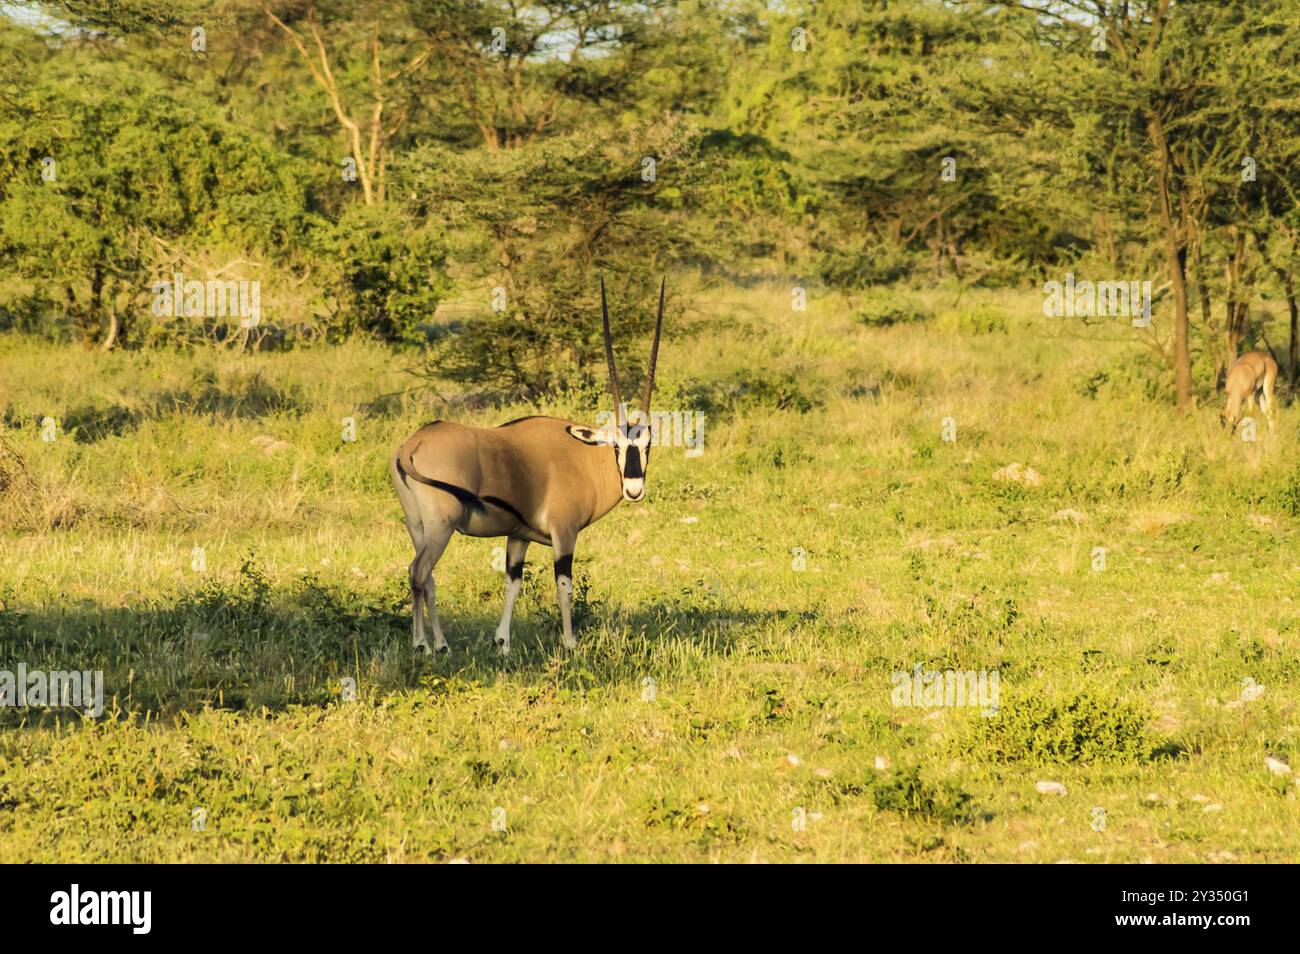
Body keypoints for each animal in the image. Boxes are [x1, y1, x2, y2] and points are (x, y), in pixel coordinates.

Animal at [390, 278, 666, 655]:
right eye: (617, 446)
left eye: (647, 444)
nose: (634, 489)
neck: (582, 456)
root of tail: (412, 445)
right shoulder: (564, 534)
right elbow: (564, 585)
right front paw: (570, 643)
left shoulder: (518, 536)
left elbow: (512, 584)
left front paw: (502, 642)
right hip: (441, 526)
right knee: (419, 571)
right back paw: (422, 644)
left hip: (417, 526)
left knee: (425, 576)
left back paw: (441, 643)